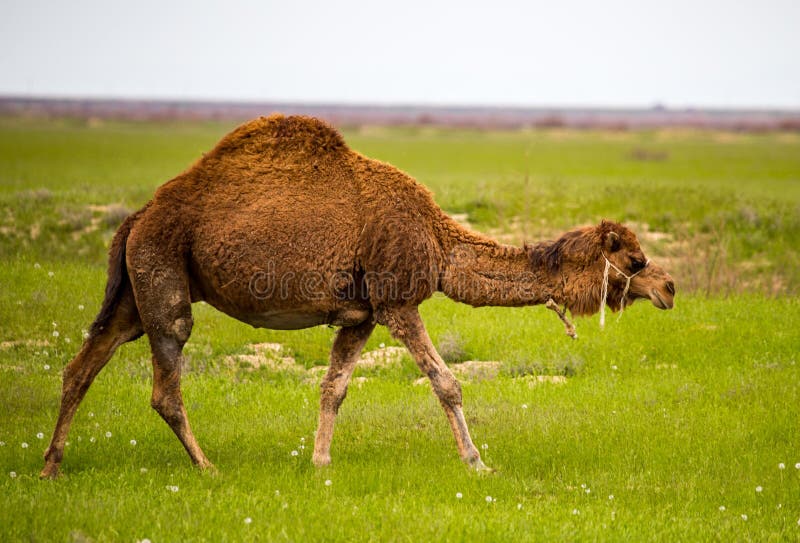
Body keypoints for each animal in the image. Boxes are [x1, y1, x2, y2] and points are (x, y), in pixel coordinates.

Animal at [40, 114, 675, 478]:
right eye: (635, 260)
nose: (669, 287)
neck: (438, 242)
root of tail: (135, 218)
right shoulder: (398, 300)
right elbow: (447, 382)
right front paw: (478, 464)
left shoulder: (361, 314)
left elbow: (334, 387)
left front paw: (319, 464)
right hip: (164, 277)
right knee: (165, 382)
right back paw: (207, 467)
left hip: (137, 290)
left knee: (83, 365)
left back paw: (51, 467)